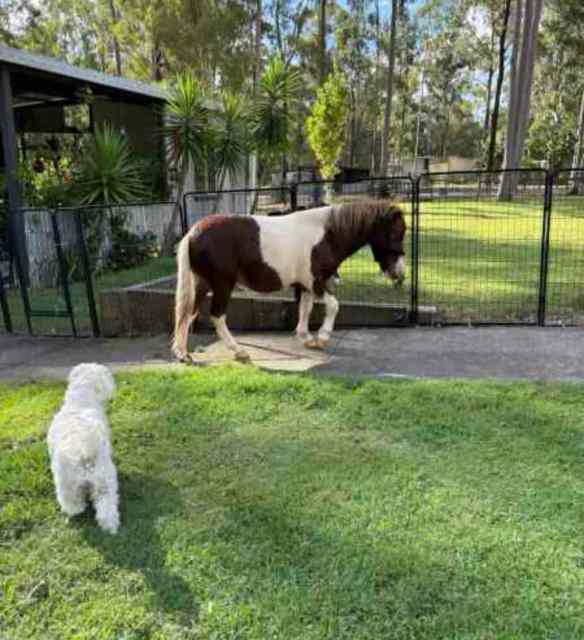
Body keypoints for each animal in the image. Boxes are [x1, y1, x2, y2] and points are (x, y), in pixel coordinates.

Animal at [171, 199, 407, 363]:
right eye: (396, 233)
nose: (399, 274)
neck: (327, 234)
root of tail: (193, 233)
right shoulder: (316, 282)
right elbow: (333, 306)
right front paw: (322, 337)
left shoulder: (306, 286)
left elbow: (305, 309)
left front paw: (307, 338)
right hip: (222, 284)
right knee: (217, 316)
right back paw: (239, 351)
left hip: (202, 283)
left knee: (188, 312)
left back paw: (182, 354)